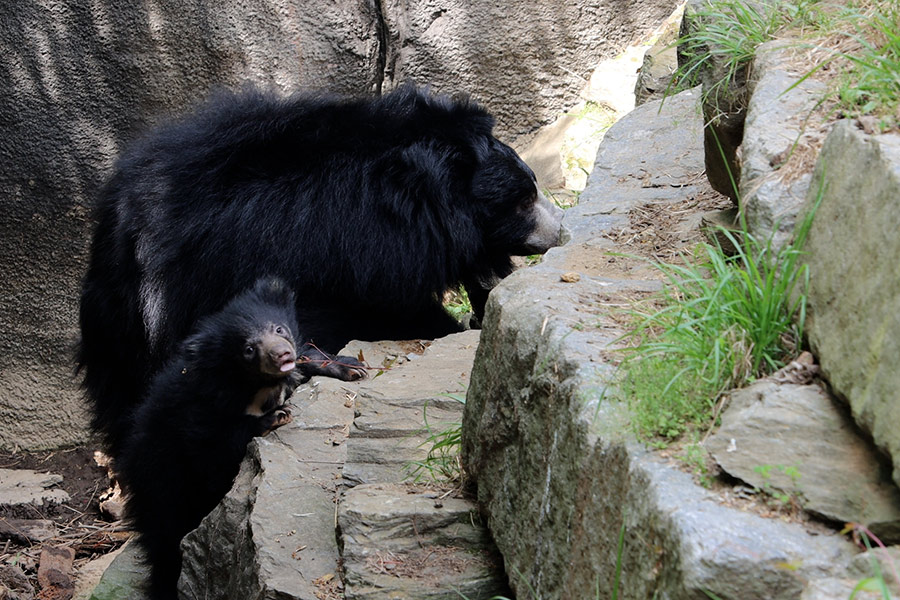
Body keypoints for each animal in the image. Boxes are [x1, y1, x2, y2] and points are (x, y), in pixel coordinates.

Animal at [115, 278, 314, 600]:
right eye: (249, 350)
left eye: (279, 329)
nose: (282, 355)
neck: (252, 386)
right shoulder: (199, 412)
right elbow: (215, 445)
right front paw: (276, 415)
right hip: (164, 482)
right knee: (166, 538)